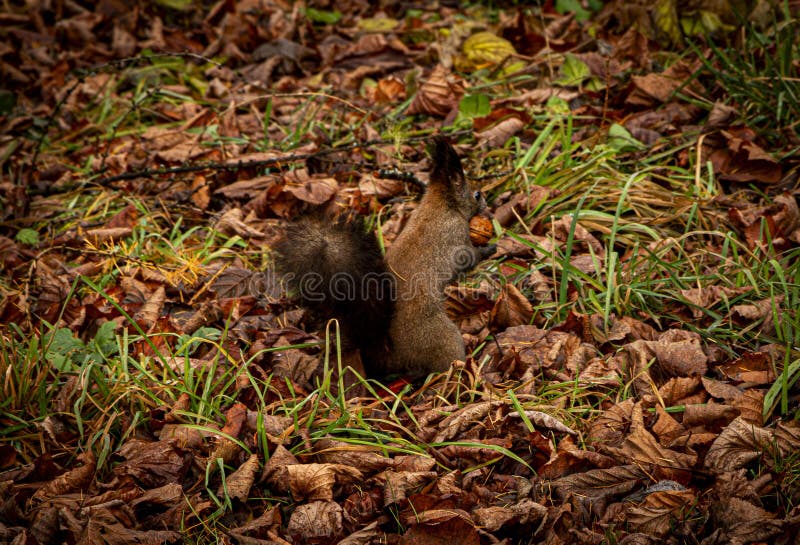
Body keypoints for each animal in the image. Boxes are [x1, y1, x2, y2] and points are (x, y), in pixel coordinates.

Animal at [274, 136, 495, 377]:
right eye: (476, 194)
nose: (487, 204)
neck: (442, 204)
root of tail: (393, 354)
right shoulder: (456, 237)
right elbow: (470, 256)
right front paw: (490, 249)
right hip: (442, 339)